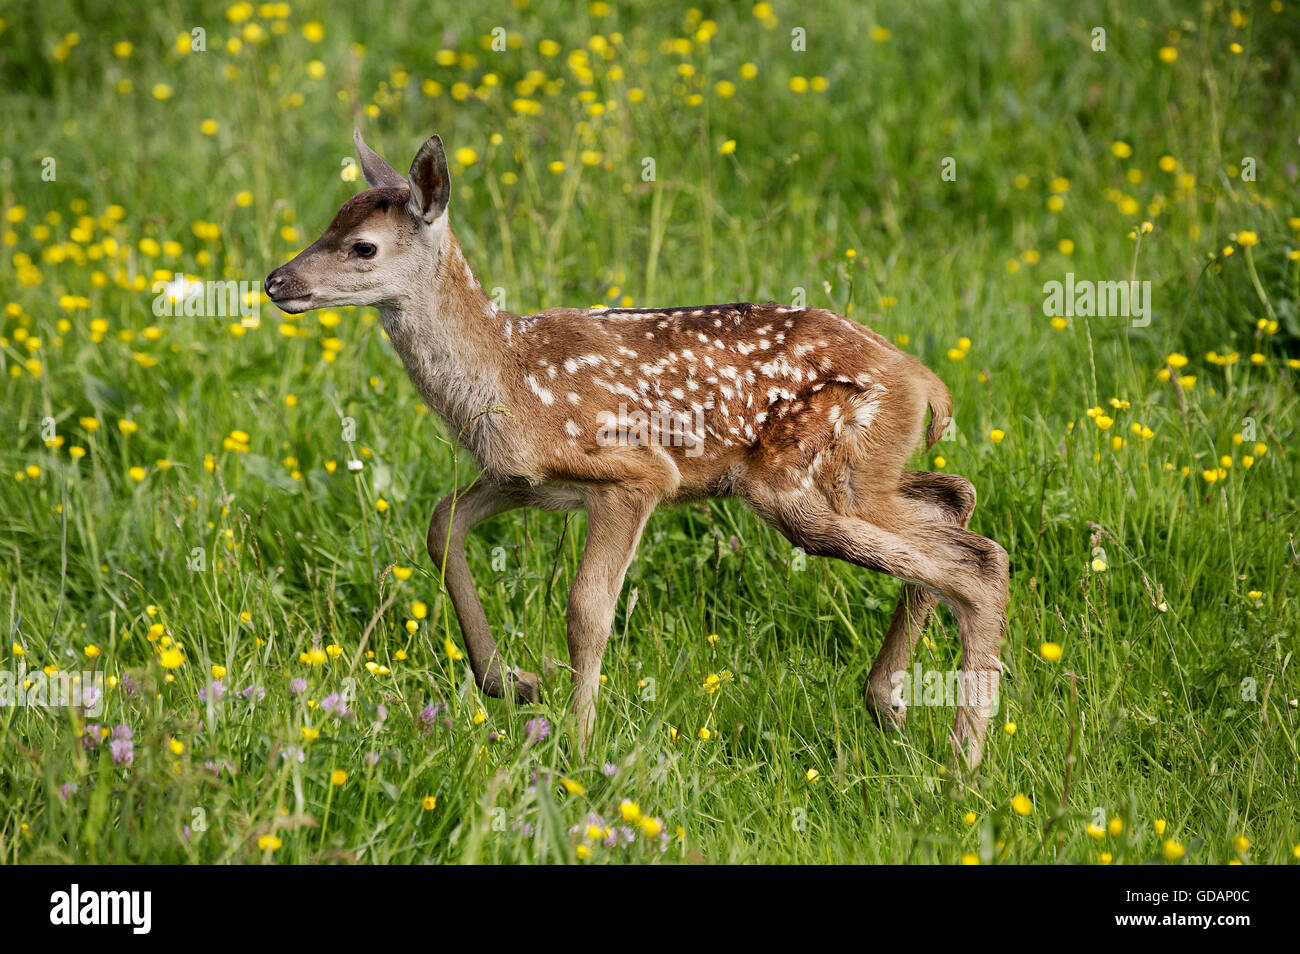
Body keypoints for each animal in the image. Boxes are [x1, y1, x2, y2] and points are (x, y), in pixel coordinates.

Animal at [265, 130, 1010, 769]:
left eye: (362, 247)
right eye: (328, 223)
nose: (276, 282)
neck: (506, 374)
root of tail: (925, 381)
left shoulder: (635, 472)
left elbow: (587, 610)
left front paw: (578, 746)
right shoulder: (519, 478)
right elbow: (440, 523)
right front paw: (513, 682)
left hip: (800, 481)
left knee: (976, 561)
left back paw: (962, 762)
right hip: (859, 472)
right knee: (955, 498)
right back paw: (890, 706)